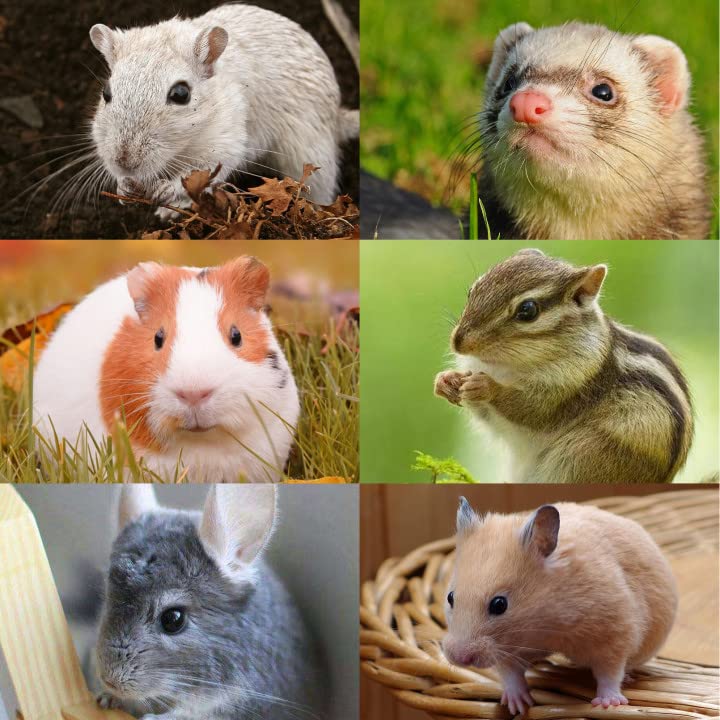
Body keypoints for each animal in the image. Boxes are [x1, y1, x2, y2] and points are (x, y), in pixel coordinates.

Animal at [89, 4, 359, 220]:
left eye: (181, 94)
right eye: (106, 93)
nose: (124, 163)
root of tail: (338, 118)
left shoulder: (225, 143)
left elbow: (200, 174)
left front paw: (166, 190)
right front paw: (123, 187)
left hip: (311, 156)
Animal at [434, 248, 693, 484]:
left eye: (527, 310)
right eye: (472, 290)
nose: (458, 342)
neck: (508, 365)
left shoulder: (576, 384)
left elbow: (533, 410)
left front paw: (486, 386)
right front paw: (445, 380)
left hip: (585, 455)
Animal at [443, 497, 678, 715]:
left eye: (499, 604)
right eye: (450, 597)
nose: (459, 658)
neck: (544, 624)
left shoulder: (615, 633)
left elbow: (610, 672)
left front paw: (607, 704)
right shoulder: (505, 650)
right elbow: (510, 673)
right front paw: (517, 706)